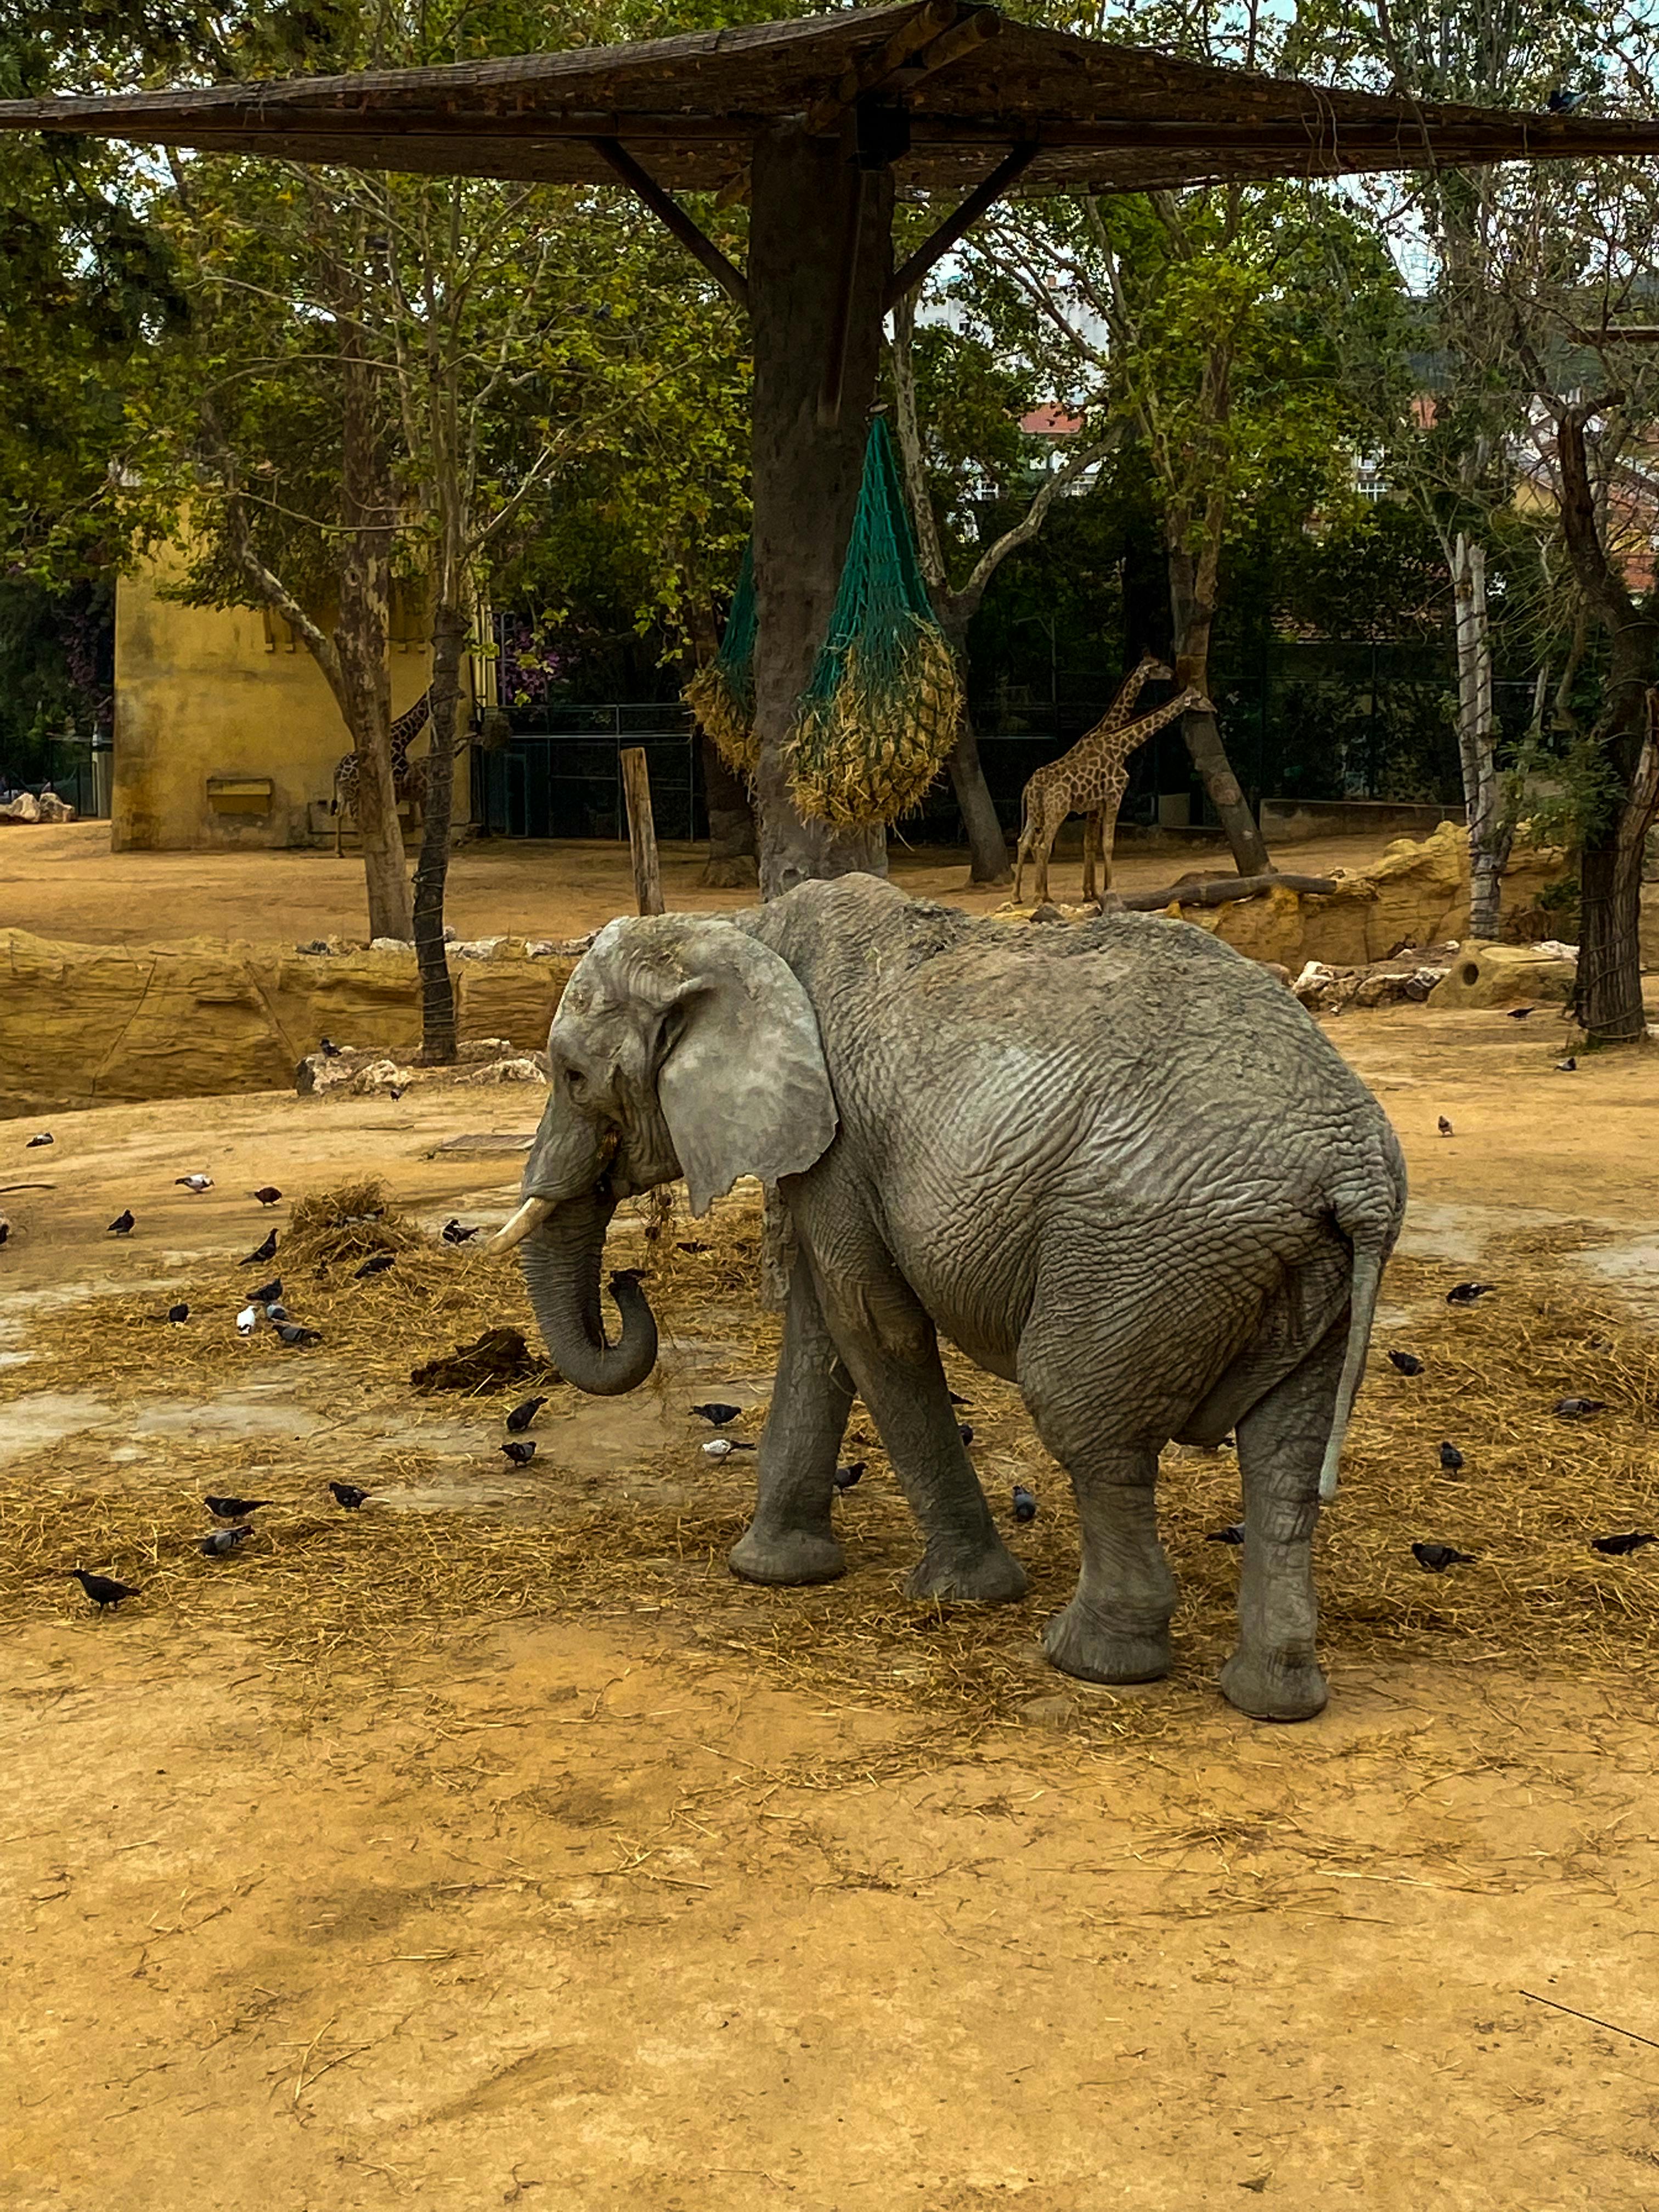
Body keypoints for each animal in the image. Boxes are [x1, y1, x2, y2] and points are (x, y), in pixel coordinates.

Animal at [492, 874, 1406, 1722]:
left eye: (572, 1074)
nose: (626, 1280)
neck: (743, 928)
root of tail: (1354, 1169)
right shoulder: (831, 1152)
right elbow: (821, 1328)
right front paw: (773, 1574)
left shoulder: (843, 1141)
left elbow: (872, 1324)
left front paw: (960, 1594)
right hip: (1298, 1273)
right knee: (1285, 1458)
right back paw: (1275, 1698)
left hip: (1143, 1245)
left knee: (1088, 1425)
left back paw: (1090, 1661)